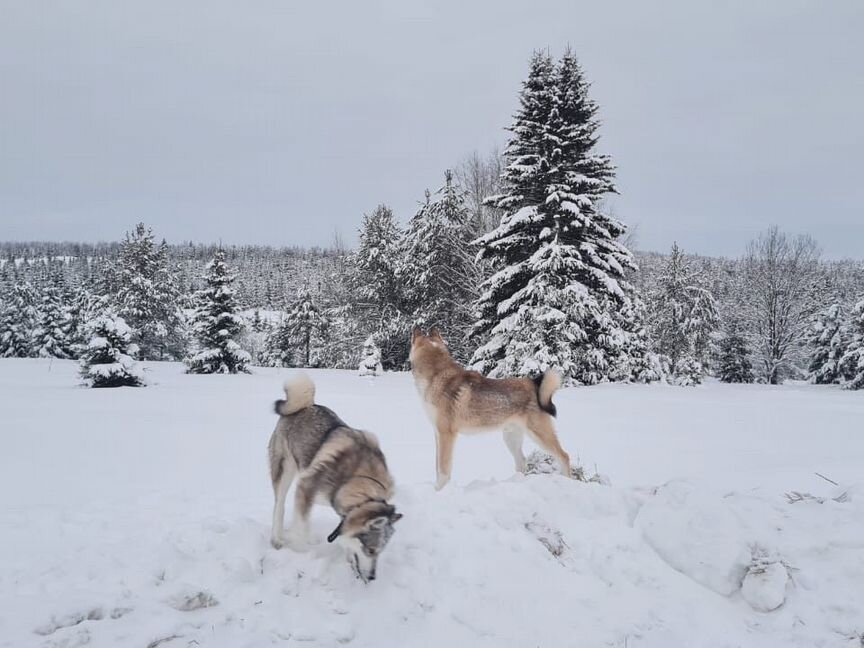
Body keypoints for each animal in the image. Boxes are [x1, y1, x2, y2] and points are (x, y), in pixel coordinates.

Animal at [266, 374, 402, 584]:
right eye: (371, 550)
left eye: (381, 552)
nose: (372, 578)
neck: (357, 479)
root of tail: (306, 404)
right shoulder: (305, 488)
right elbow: (302, 528)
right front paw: (303, 549)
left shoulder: (344, 513)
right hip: (285, 470)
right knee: (279, 506)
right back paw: (278, 539)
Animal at [408, 326, 572, 488]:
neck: (437, 375)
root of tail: (533, 383)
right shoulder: (437, 433)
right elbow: (437, 468)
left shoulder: (446, 434)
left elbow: (443, 470)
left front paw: (440, 491)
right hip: (511, 438)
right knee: (522, 462)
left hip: (539, 434)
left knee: (564, 456)